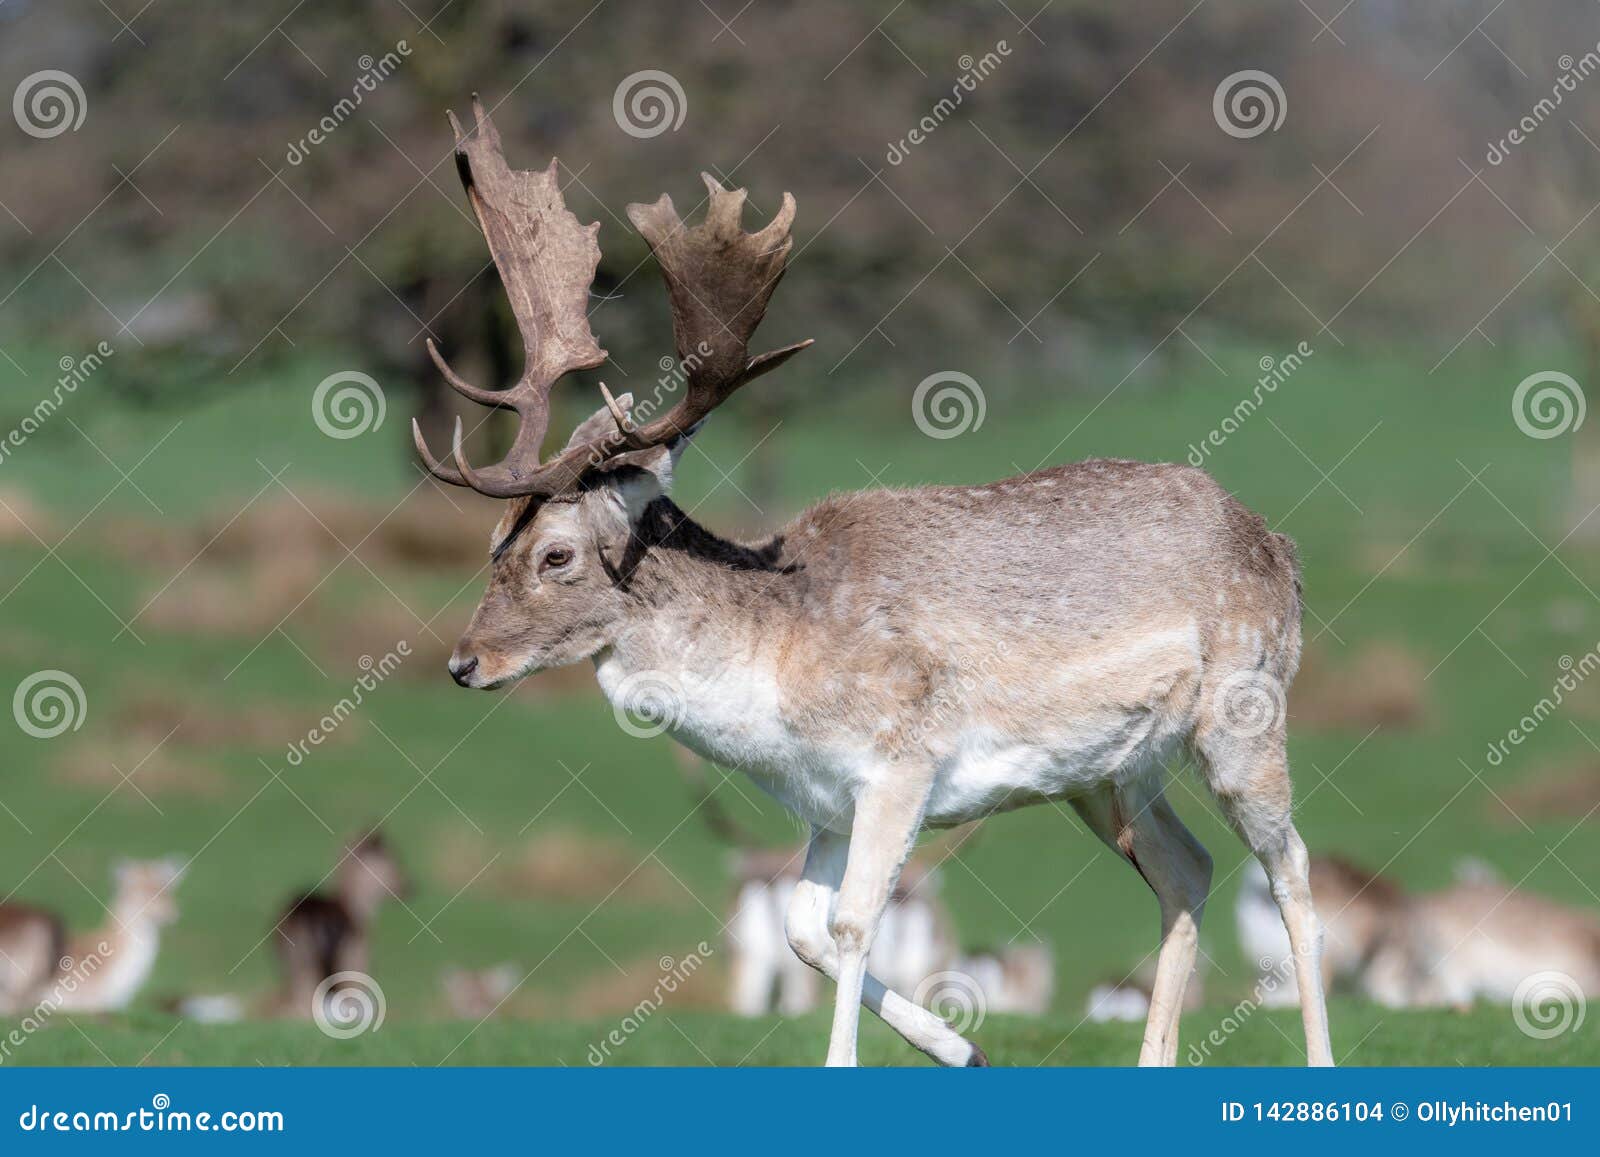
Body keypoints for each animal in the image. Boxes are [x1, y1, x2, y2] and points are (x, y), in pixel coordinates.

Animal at [412, 96, 1333, 1067]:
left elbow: (853, 925)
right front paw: (963, 1049)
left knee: (1293, 871)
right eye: (492, 542)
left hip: (1244, 710)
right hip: (1109, 773)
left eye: (556, 553)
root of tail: (1279, 547)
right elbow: (801, 932)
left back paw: (1319, 1057)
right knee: (1188, 869)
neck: (774, 674)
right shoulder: (825, 803)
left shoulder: (903, 761)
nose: (464, 662)